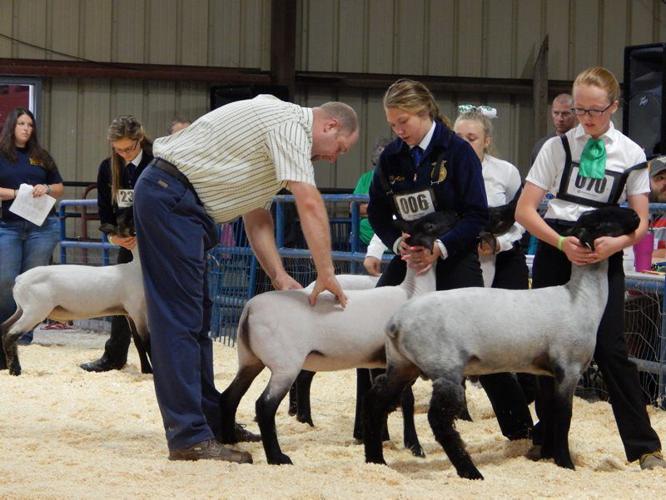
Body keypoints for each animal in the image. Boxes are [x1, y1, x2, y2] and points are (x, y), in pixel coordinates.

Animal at [218, 211, 458, 465]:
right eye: (430, 224)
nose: (457, 214)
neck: (412, 292)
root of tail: (249, 309)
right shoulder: (398, 360)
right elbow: (406, 401)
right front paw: (414, 447)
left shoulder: (377, 362)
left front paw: (380, 438)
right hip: (285, 364)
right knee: (264, 406)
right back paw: (278, 457)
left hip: (249, 359)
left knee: (229, 397)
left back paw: (230, 441)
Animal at [363, 206, 640, 480]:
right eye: (603, 219)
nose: (638, 217)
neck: (581, 298)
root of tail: (395, 323)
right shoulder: (569, 368)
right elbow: (564, 417)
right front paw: (565, 463)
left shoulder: (548, 372)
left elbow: (549, 412)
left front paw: (547, 455)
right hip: (444, 367)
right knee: (438, 421)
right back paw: (470, 472)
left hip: (402, 364)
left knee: (377, 400)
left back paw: (375, 460)